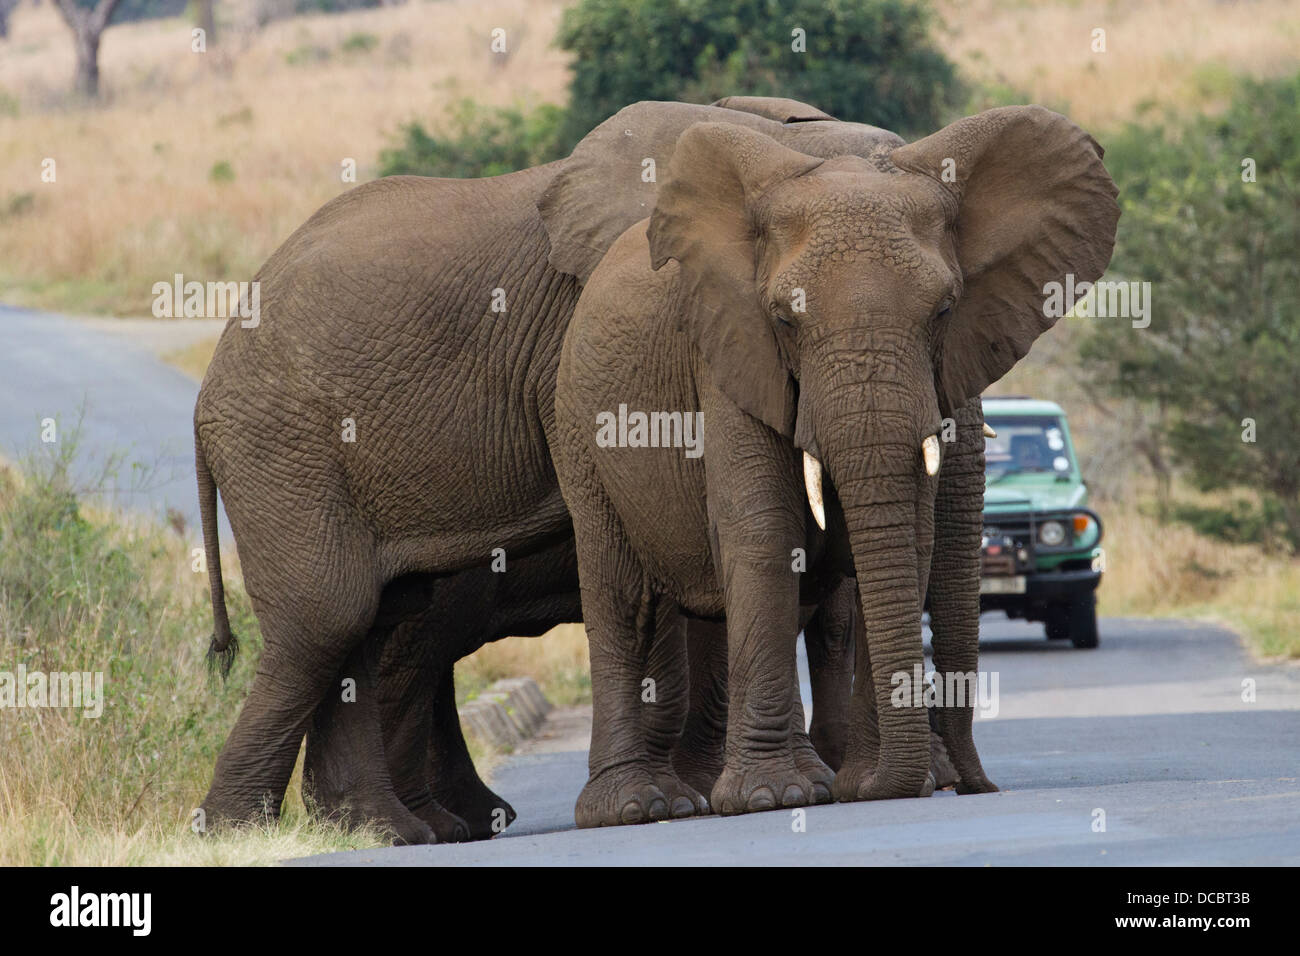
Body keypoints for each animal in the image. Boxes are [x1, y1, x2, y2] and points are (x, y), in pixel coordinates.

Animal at [550, 109, 1118, 822]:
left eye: (944, 311)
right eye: (784, 319)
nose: (975, 786)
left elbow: (908, 540)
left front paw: (867, 785)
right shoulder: (727, 352)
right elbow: (764, 535)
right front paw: (776, 796)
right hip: (577, 427)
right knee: (624, 598)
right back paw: (638, 807)